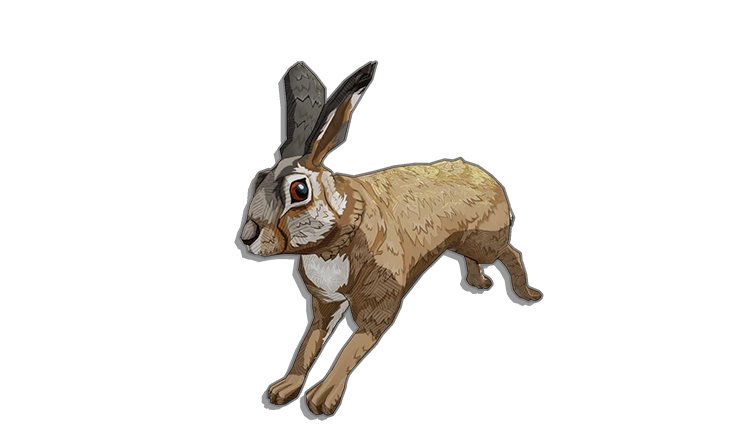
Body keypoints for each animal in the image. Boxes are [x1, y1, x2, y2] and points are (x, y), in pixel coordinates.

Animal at [242, 63, 542, 416]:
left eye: (299, 190)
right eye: (259, 179)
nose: (247, 236)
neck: (344, 226)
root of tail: (486, 175)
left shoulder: (379, 305)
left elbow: (351, 350)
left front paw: (322, 400)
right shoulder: (327, 304)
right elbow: (309, 344)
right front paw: (283, 390)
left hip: (485, 242)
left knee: (510, 254)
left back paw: (527, 294)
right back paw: (476, 282)